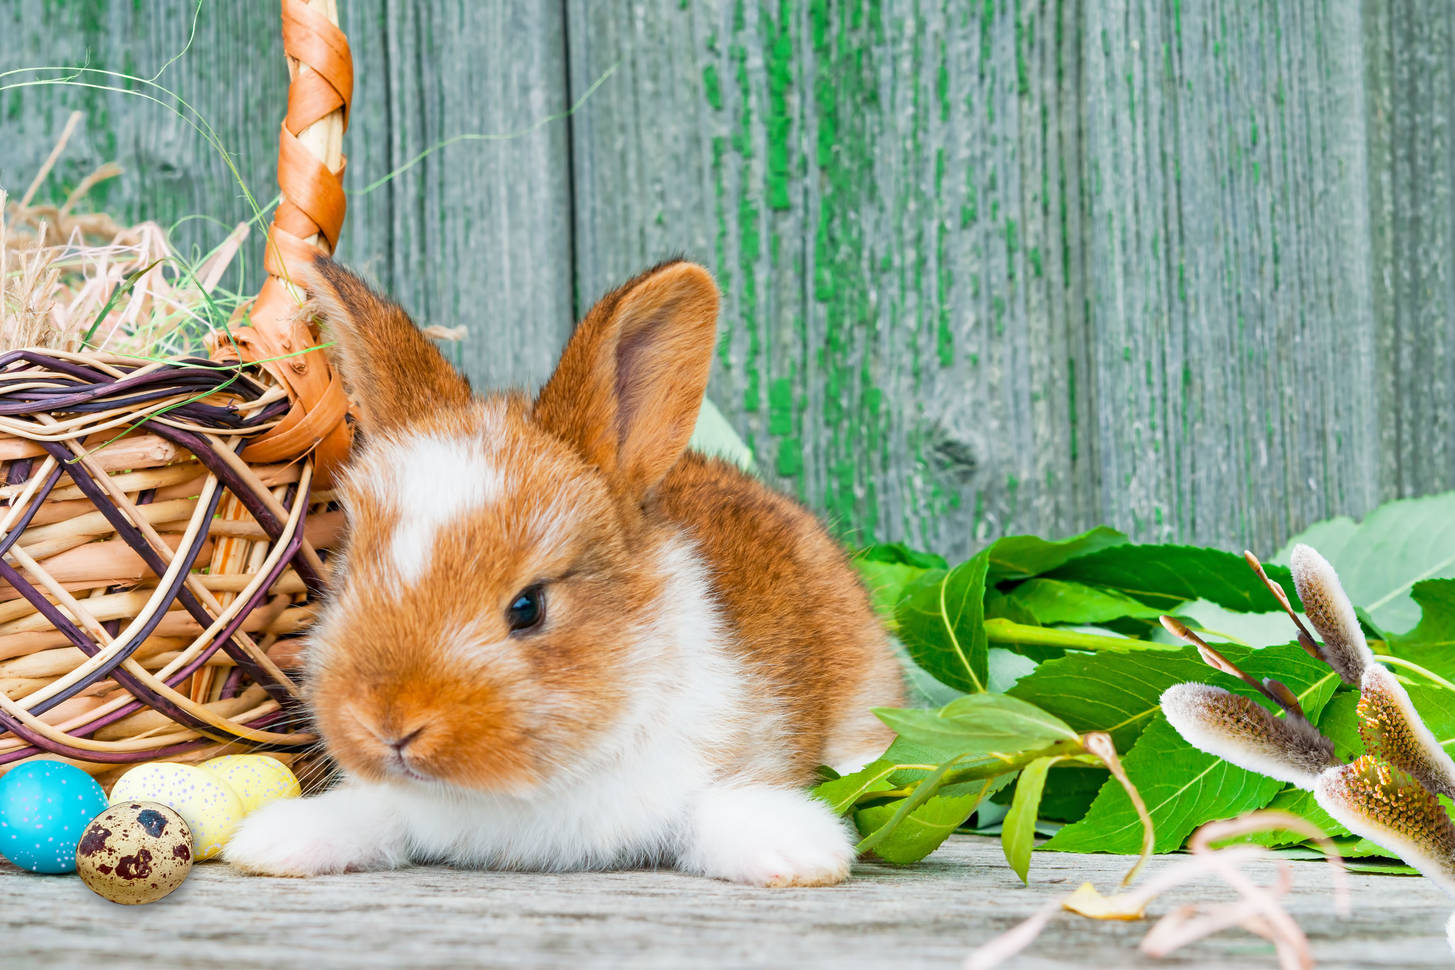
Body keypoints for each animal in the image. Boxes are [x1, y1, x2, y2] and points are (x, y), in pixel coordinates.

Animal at [223, 257, 905, 886]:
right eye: (347, 580)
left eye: (528, 608)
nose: (388, 723)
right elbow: (367, 812)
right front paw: (273, 844)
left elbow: (717, 807)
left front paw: (801, 853)